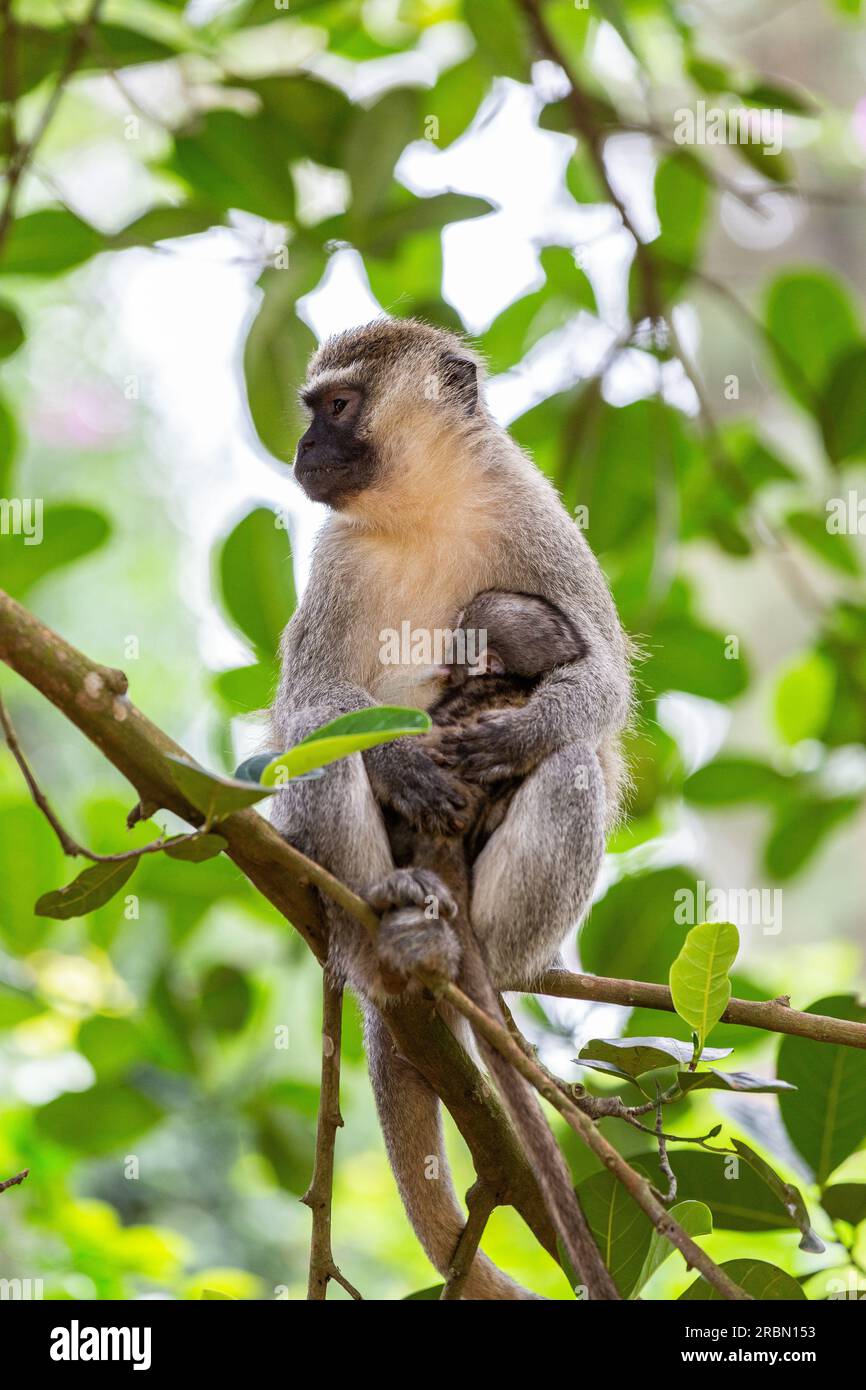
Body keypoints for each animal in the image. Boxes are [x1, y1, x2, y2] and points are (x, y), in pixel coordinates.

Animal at [270, 317, 632, 1299]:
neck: (423, 503)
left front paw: (523, 727)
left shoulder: (534, 510)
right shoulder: (336, 557)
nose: (302, 448)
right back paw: (387, 933)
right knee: (319, 759)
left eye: (338, 405)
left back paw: (473, 968)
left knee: (572, 763)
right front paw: (399, 757)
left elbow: (602, 683)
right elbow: (307, 713)